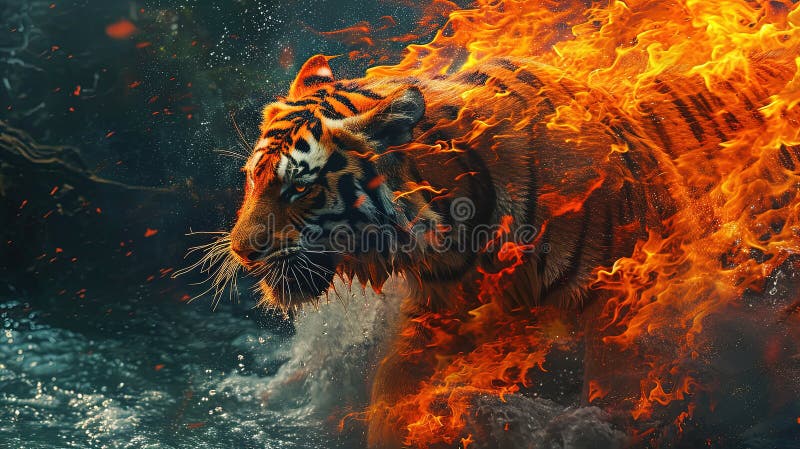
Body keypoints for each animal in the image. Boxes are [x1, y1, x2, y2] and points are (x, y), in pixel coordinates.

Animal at [223, 54, 796, 447]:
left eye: (299, 188)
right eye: (253, 177)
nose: (243, 253)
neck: (455, 233)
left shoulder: (627, 304)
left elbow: (618, 398)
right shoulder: (436, 314)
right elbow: (394, 395)